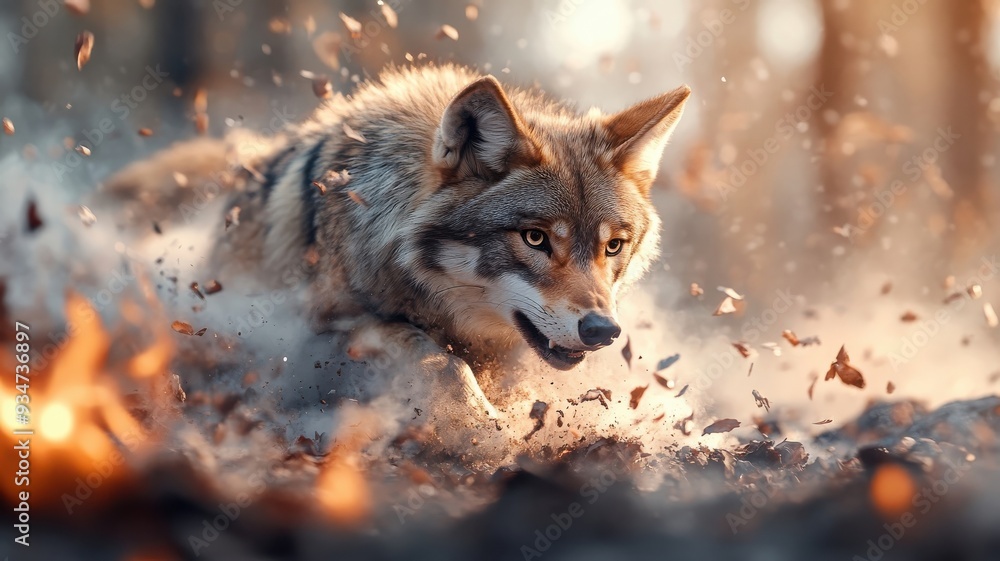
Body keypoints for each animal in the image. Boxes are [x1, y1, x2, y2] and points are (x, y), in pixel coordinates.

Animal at [106, 64, 690, 421]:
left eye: (612, 247)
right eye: (535, 238)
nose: (603, 331)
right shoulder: (322, 324)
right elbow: (443, 363)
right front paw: (487, 426)